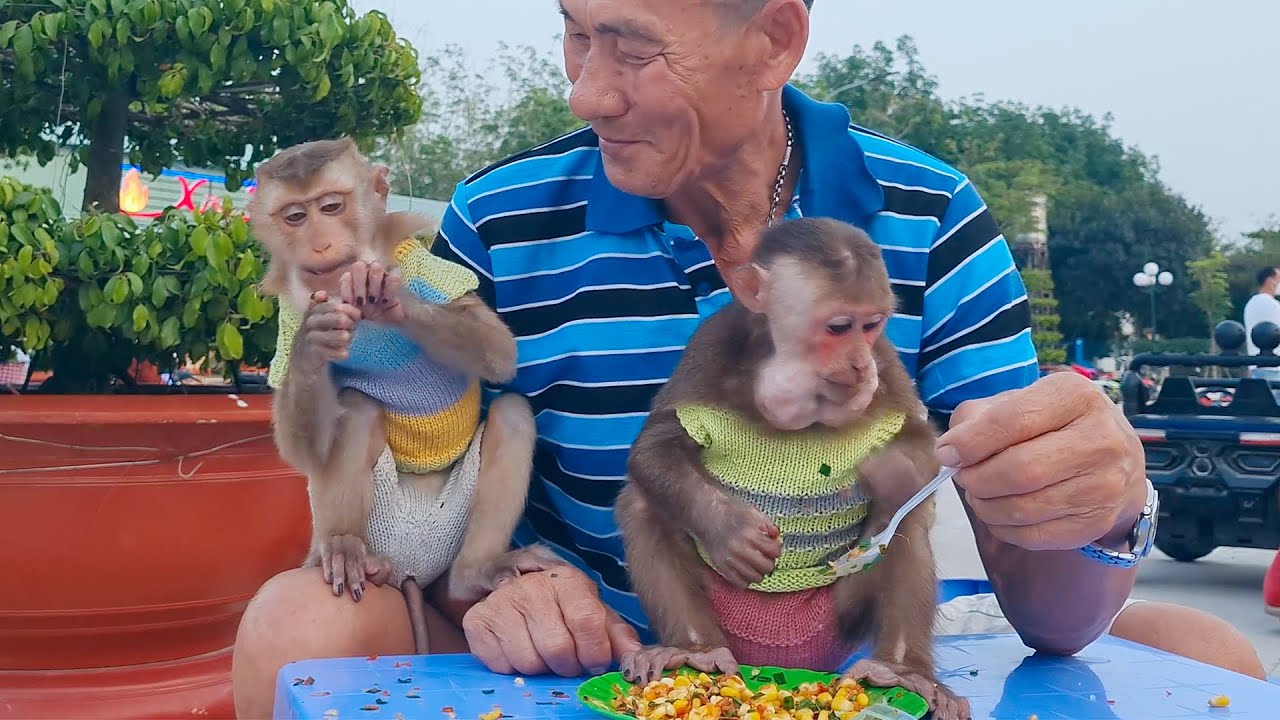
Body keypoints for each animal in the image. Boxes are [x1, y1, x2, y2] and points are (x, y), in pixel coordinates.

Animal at [248, 137, 559, 652]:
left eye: (331, 207)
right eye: (294, 216)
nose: (320, 242)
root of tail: (410, 569)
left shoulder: (425, 265)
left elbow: (498, 350)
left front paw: (386, 294)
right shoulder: (288, 317)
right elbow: (305, 452)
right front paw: (311, 346)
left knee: (513, 412)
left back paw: (475, 574)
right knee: (356, 408)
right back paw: (346, 549)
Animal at [615, 217, 968, 720]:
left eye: (871, 325)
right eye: (839, 327)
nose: (858, 364)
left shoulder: (885, 362)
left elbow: (922, 442)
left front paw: (891, 474)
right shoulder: (710, 348)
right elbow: (654, 448)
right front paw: (732, 532)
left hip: (835, 619)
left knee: (907, 521)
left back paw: (901, 671)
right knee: (643, 503)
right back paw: (692, 649)